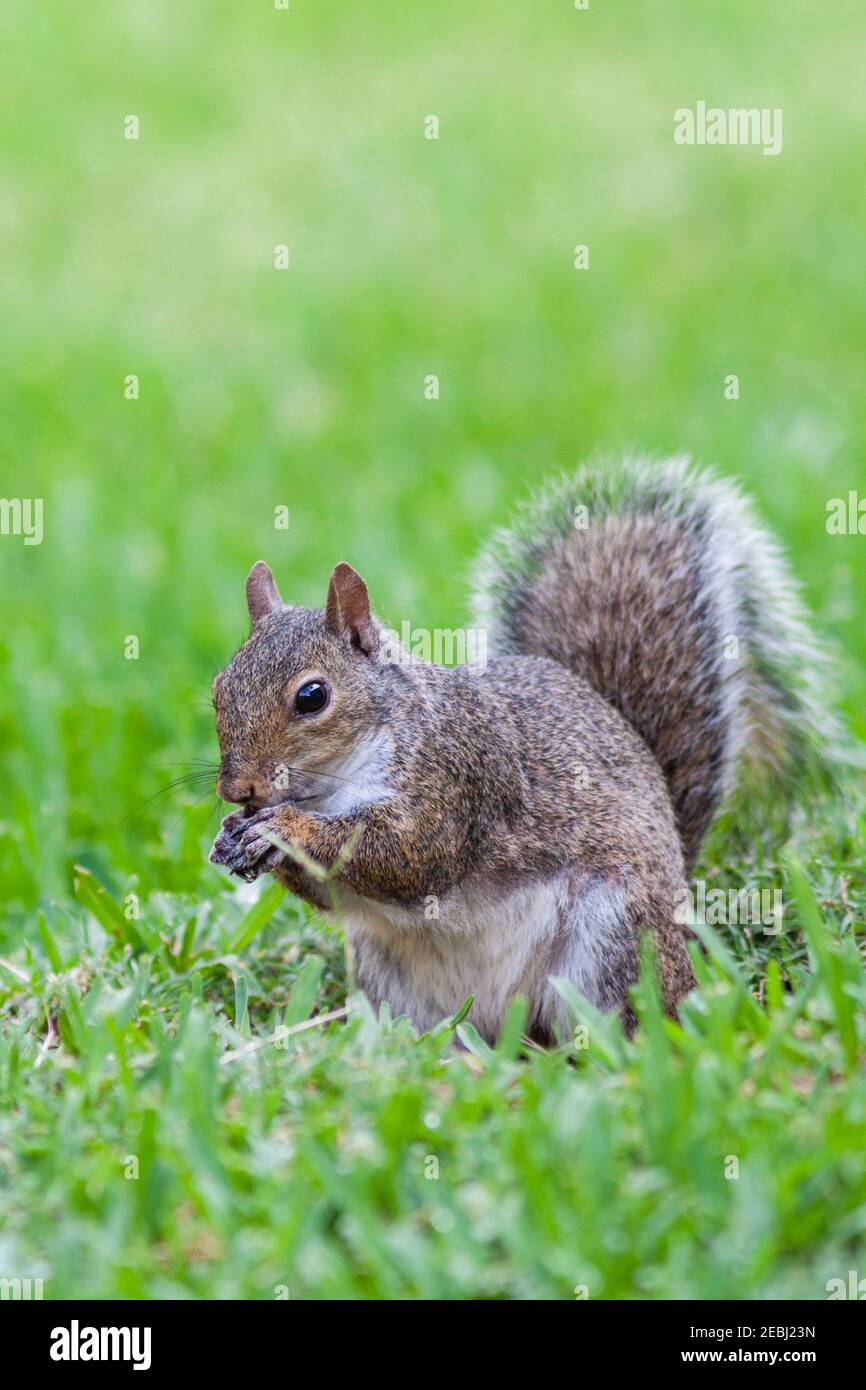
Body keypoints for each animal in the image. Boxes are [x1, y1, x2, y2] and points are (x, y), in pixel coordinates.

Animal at [208, 455, 834, 1045]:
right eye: (218, 689)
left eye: (312, 696)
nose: (237, 790)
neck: (332, 784)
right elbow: (336, 893)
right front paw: (233, 837)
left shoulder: (454, 777)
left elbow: (408, 854)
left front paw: (283, 829)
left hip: (613, 935)